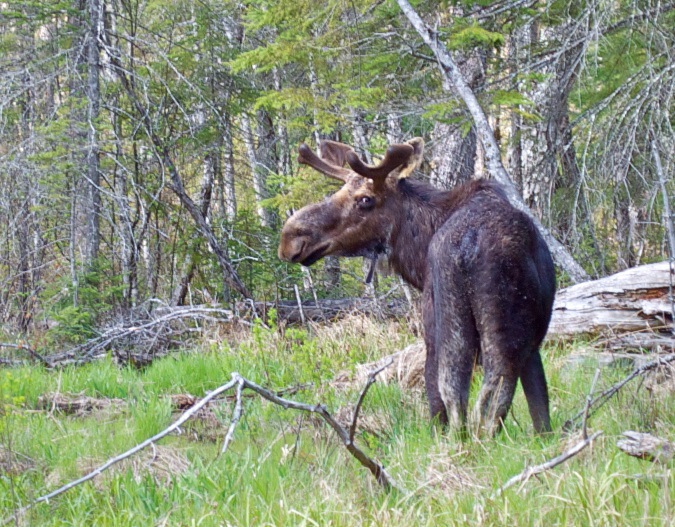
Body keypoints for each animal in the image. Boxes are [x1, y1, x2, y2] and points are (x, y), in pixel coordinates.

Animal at [278, 137, 556, 435]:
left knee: (455, 396)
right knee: (480, 402)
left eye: (365, 199)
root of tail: (466, 247)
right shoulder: (531, 342)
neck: (419, 256)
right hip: (493, 331)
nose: (290, 238)